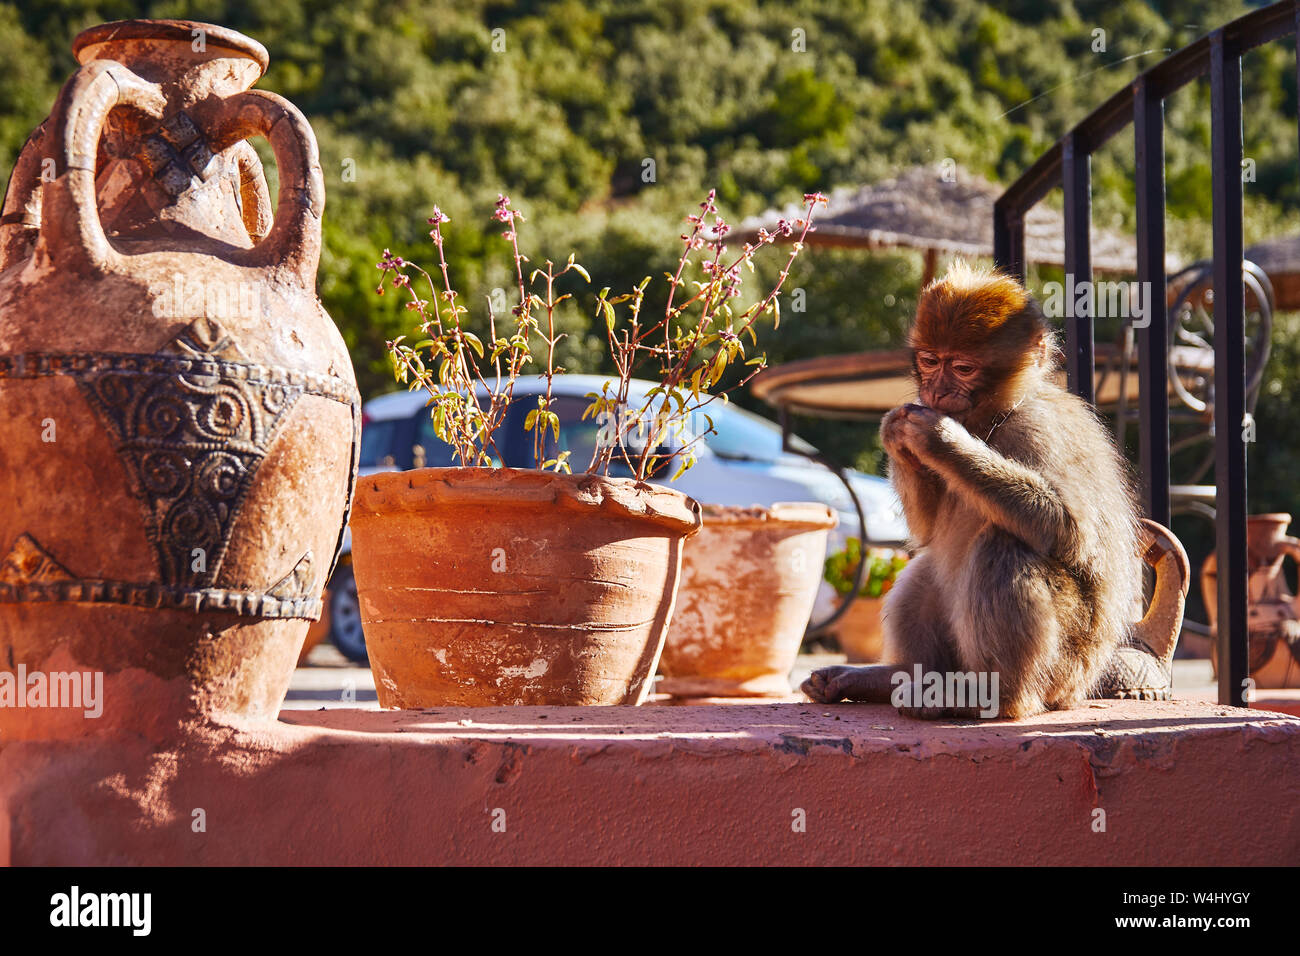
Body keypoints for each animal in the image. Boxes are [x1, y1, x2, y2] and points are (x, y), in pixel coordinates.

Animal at [802, 262, 1185, 719]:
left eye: (963, 369)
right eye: (930, 361)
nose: (935, 391)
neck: (997, 416)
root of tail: (1081, 686)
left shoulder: (1038, 429)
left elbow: (1071, 530)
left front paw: (941, 439)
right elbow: (927, 533)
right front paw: (898, 434)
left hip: (1066, 669)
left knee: (1004, 545)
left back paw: (993, 695)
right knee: (927, 569)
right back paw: (896, 680)